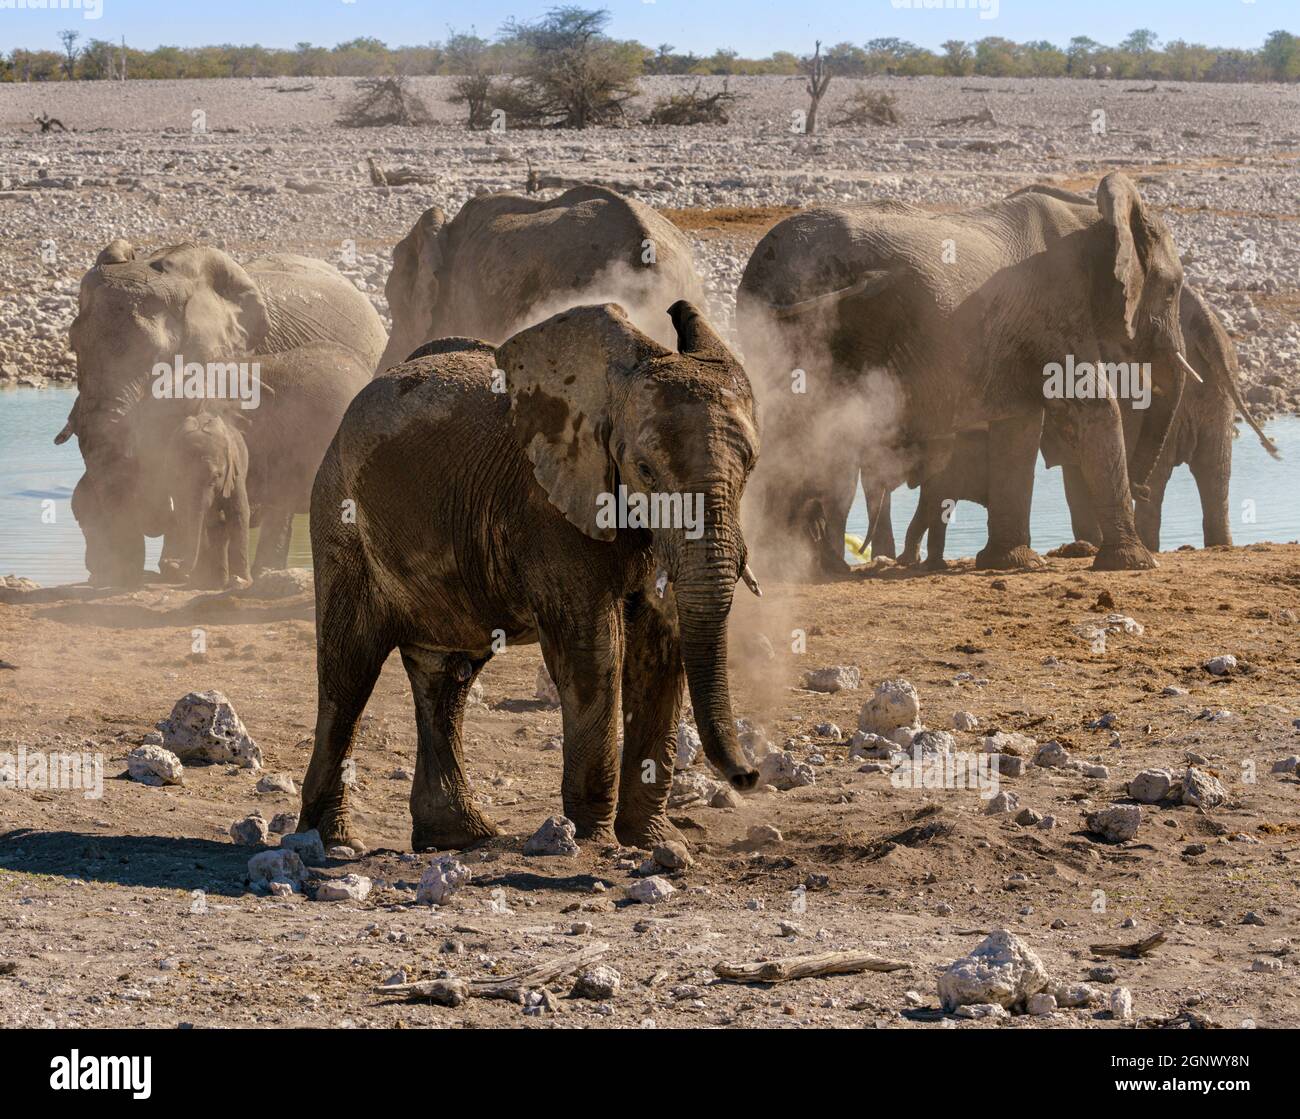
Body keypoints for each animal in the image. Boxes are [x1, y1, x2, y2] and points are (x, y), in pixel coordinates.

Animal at [164, 409, 252, 589]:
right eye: (180, 477)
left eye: (216, 477)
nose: (172, 562)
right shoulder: (176, 486)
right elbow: (186, 517)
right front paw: (200, 581)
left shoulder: (235, 471)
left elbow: (239, 513)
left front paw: (242, 582)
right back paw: (215, 582)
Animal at [298, 301, 761, 854]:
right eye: (645, 470)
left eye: (751, 467)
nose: (749, 777)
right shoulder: (548, 512)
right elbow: (596, 652)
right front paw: (594, 841)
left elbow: (660, 649)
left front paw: (651, 841)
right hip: (339, 516)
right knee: (348, 672)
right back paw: (330, 842)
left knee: (445, 678)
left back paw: (461, 838)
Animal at [736, 175, 1201, 575]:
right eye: (1172, 290)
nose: (1142, 489)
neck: (1095, 217)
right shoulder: (1061, 307)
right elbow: (1095, 407)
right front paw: (1135, 564)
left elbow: (1020, 425)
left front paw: (1010, 563)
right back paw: (815, 567)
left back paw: (805, 567)